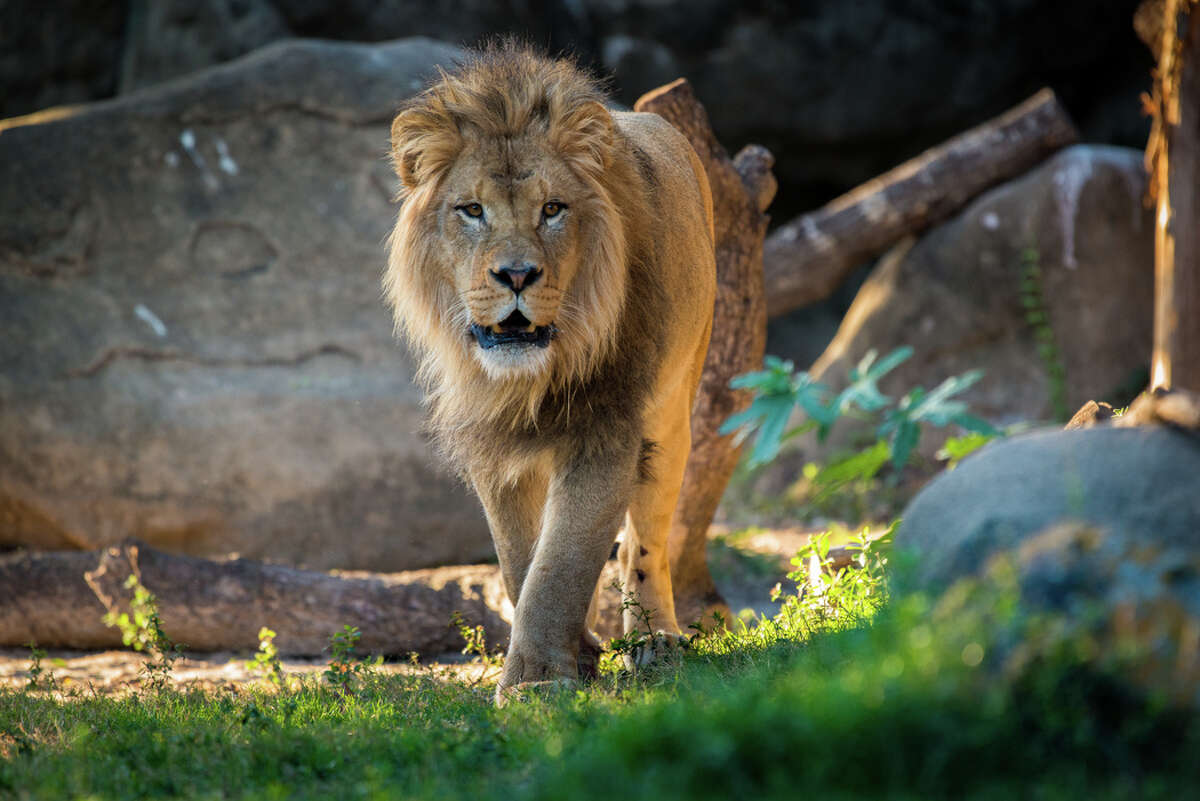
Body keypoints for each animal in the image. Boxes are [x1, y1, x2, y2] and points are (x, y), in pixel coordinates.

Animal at [384, 43, 716, 702]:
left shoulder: (605, 429)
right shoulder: (493, 445)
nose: (516, 275)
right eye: (472, 211)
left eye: (553, 210)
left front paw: (536, 681)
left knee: (647, 542)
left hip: (673, 414)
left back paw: (656, 642)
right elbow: (522, 561)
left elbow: (562, 559)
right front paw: (571, 654)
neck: (528, 378)